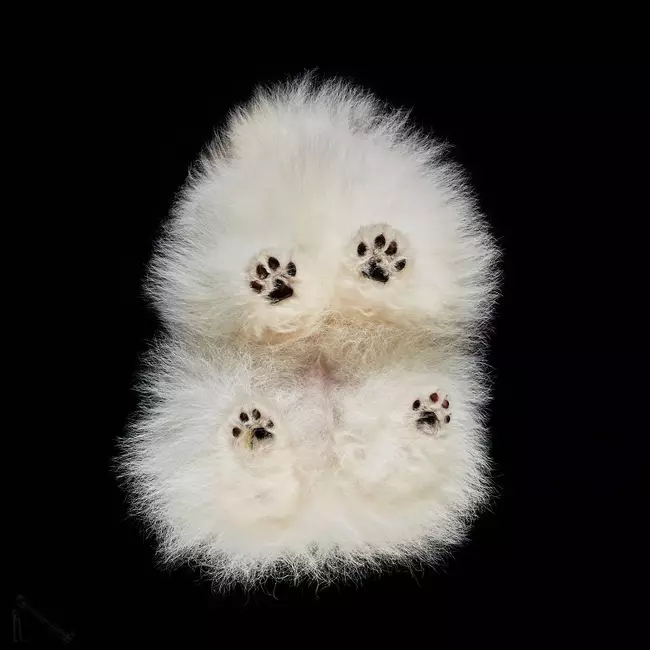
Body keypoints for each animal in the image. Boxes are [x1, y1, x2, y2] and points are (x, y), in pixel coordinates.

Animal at [117, 74, 502, 588]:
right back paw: (256, 432)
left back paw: (422, 416)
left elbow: (402, 291)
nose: (278, 275)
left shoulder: (436, 261)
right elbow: (243, 290)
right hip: (195, 428)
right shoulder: (214, 260)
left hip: (390, 415)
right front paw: (275, 282)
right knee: (251, 487)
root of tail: (325, 499)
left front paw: (378, 261)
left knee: (394, 465)